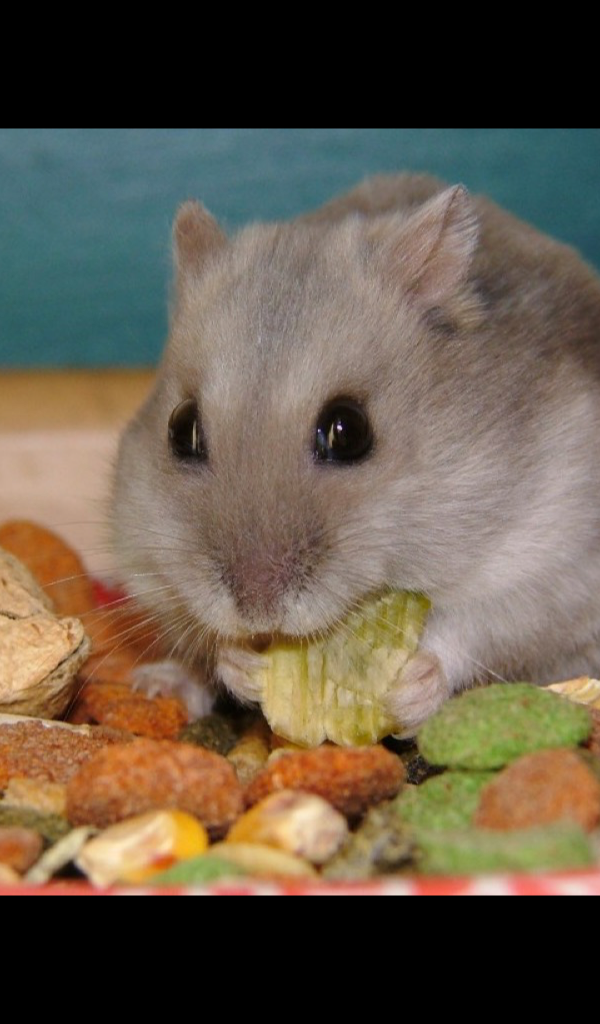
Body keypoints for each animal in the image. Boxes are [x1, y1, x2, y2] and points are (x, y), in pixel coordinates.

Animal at [111, 173, 600, 734]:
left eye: (348, 432)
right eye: (180, 428)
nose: (256, 612)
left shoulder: (548, 567)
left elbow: (470, 630)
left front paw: (408, 688)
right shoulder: (146, 560)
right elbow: (207, 639)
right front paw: (242, 663)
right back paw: (158, 684)